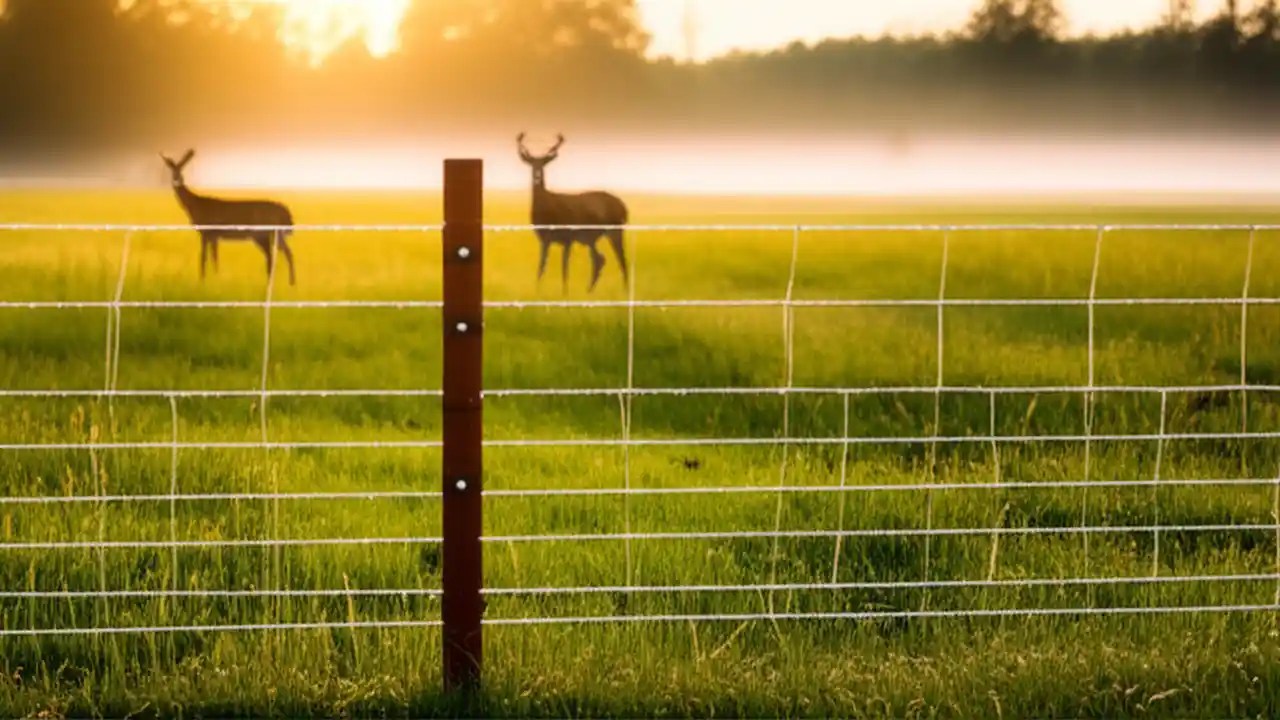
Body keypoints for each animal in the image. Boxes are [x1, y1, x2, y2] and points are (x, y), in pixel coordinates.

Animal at [161, 149, 298, 285]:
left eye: (182, 169)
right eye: (172, 170)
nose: (177, 180)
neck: (195, 204)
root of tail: (284, 211)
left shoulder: (207, 232)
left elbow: (204, 257)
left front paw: (203, 280)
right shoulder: (214, 236)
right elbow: (214, 257)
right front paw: (214, 278)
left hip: (261, 233)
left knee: (271, 256)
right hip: (275, 233)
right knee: (285, 253)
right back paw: (290, 283)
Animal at [517, 133, 629, 293]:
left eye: (544, 163)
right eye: (531, 163)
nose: (537, 177)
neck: (547, 211)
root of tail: (624, 207)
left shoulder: (568, 237)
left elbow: (564, 268)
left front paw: (564, 293)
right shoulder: (544, 239)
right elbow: (541, 267)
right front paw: (537, 290)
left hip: (614, 229)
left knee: (620, 259)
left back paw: (625, 290)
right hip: (591, 237)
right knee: (599, 259)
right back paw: (589, 291)